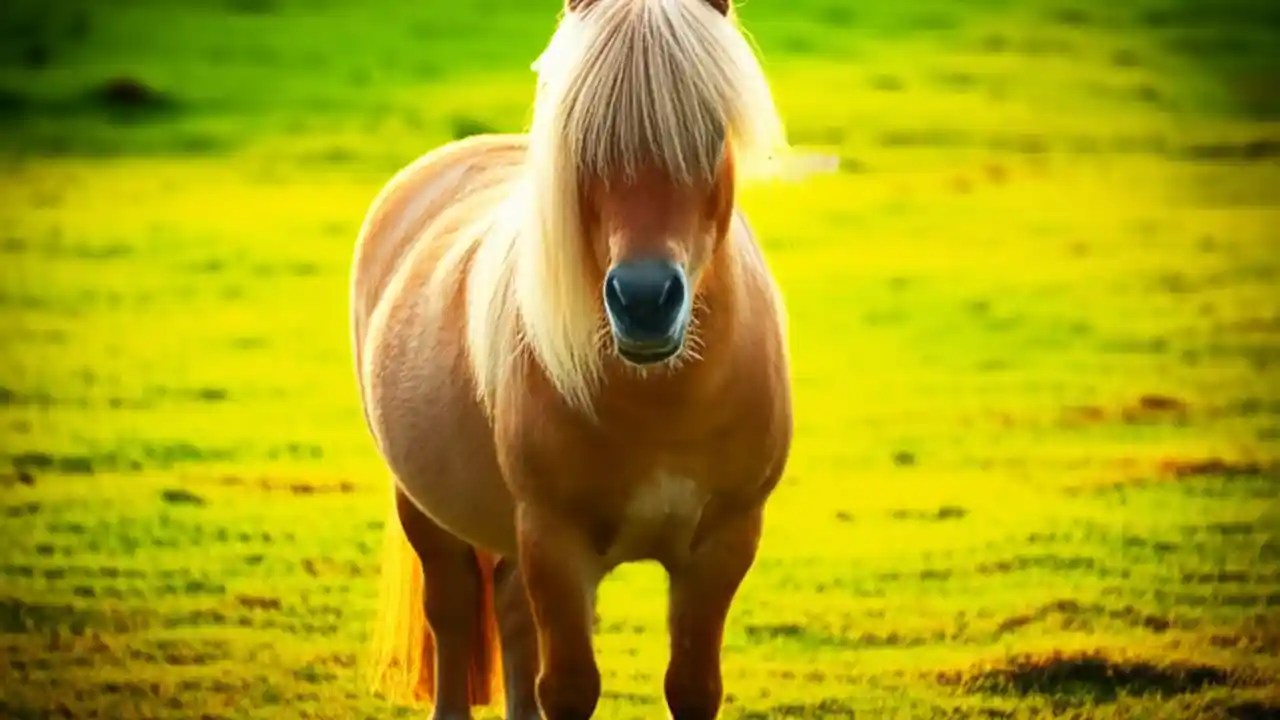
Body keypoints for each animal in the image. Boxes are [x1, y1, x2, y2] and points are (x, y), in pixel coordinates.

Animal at [350, 0, 792, 717]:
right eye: (584, 139)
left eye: (708, 132)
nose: (644, 300)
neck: (660, 401)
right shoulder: (555, 543)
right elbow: (568, 687)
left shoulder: (723, 543)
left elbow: (693, 686)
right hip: (425, 508)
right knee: (454, 613)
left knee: (509, 613)